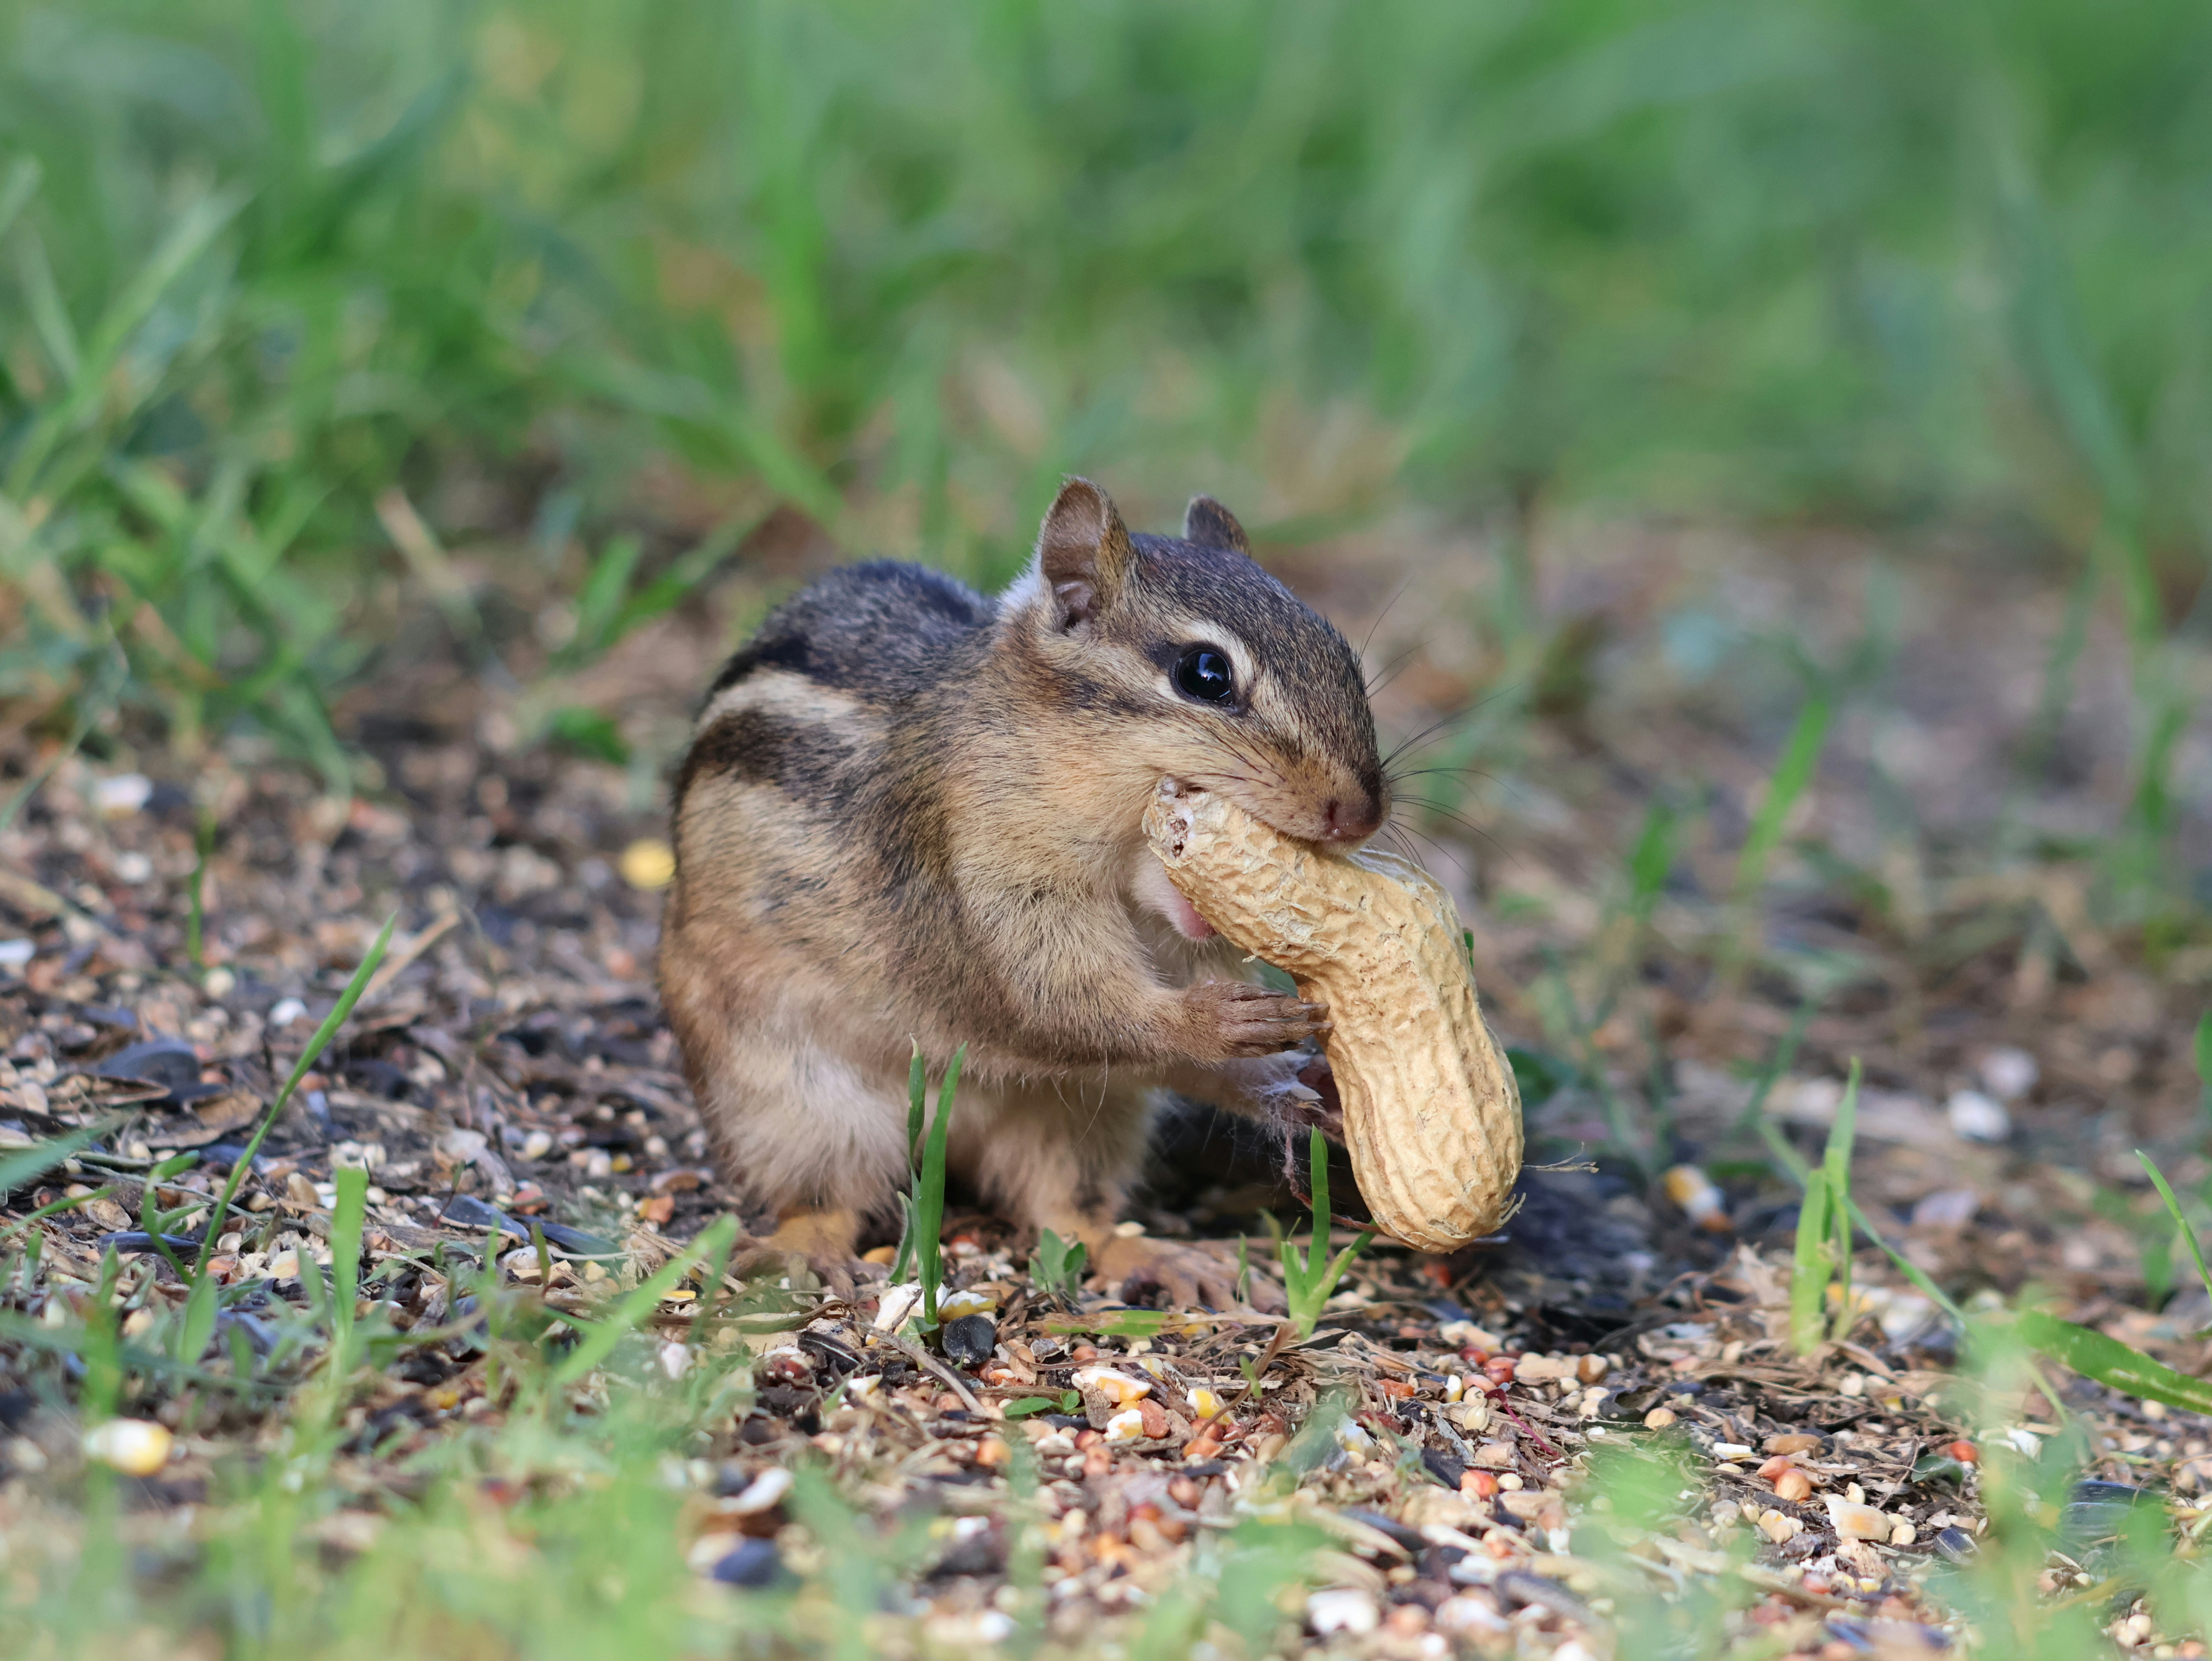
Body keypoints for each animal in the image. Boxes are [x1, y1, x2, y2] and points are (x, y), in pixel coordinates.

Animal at [658, 478, 1387, 1309]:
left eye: (1342, 653)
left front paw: (1301, 1081)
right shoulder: (977, 887)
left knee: (1070, 1213)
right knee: (828, 1197)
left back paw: (1156, 1256)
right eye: (1204, 673)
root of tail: (949, 1138)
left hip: (1081, 1121)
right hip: (790, 1101)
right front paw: (1210, 1021)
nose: (1361, 813)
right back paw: (804, 1248)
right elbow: (1052, 1003)